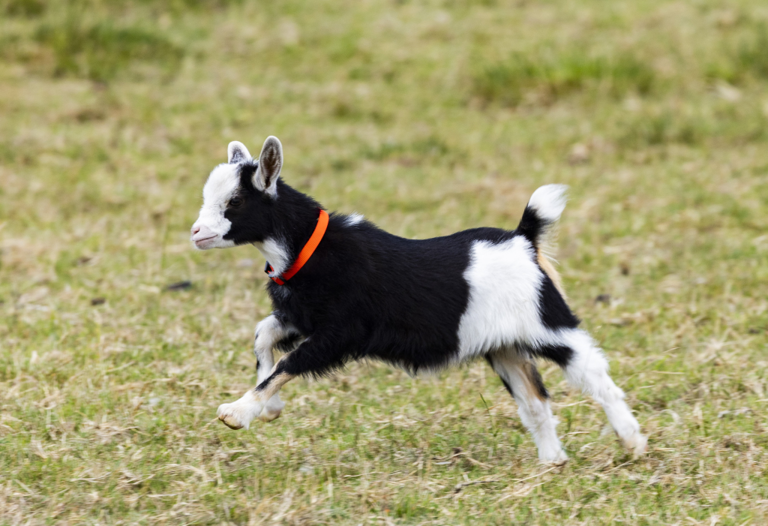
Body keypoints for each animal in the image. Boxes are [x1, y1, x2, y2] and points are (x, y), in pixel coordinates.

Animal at [190, 136, 647, 463]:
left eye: (234, 201)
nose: (196, 233)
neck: (310, 246)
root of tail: (524, 239)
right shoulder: (301, 316)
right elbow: (263, 336)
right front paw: (269, 409)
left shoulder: (340, 332)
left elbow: (289, 364)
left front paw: (238, 412)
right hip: (504, 346)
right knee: (534, 400)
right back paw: (553, 462)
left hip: (548, 325)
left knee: (595, 373)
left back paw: (632, 442)